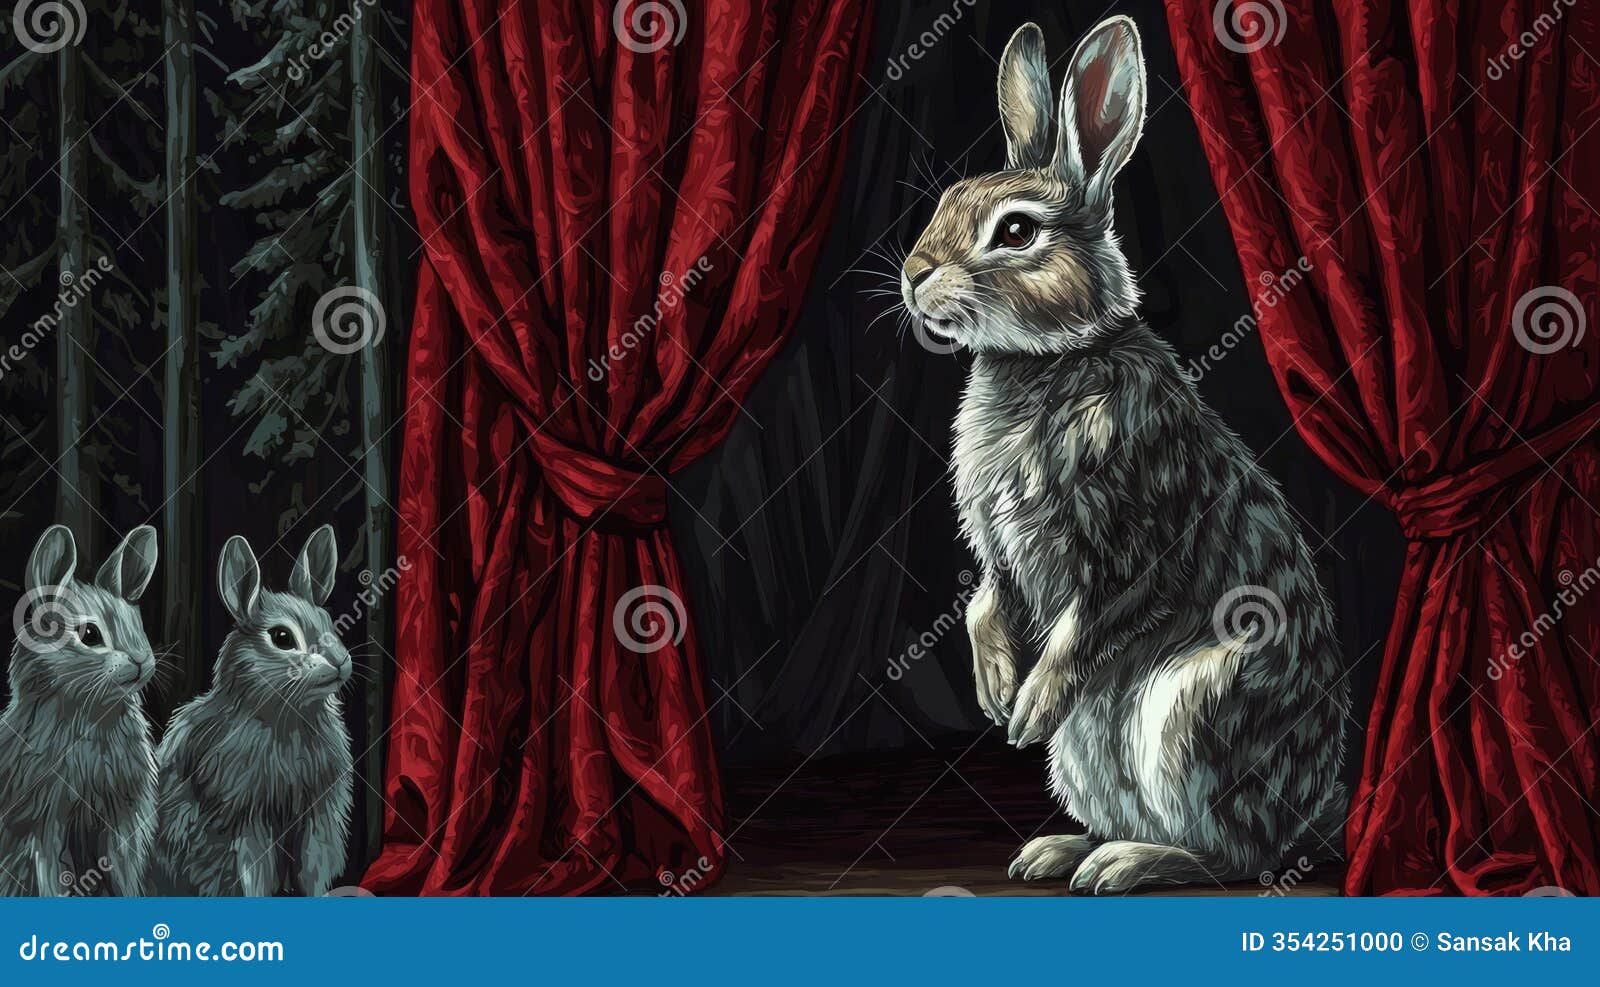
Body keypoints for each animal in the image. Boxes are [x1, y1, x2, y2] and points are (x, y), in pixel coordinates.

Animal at [0, 524, 159, 896]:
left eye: (138, 626)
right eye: (89, 634)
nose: (141, 662)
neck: (90, 714)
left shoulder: (121, 820)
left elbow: (123, 869)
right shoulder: (43, 822)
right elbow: (51, 874)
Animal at [151, 526, 353, 896]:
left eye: (329, 621)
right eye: (282, 637)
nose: (339, 662)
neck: (285, 714)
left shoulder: (317, 816)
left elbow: (312, 869)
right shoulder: (244, 818)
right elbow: (253, 873)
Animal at [899, 17, 1348, 893]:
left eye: (1015, 230)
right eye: (945, 203)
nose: (913, 276)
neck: (1048, 358)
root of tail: (1316, 815)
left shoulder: (1126, 547)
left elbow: (1088, 624)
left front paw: (1028, 706)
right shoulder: (997, 549)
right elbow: (982, 603)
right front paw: (997, 694)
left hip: (1188, 711)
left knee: (1236, 857)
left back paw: (1125, 864)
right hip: (1088, 758)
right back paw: (1059, 851)